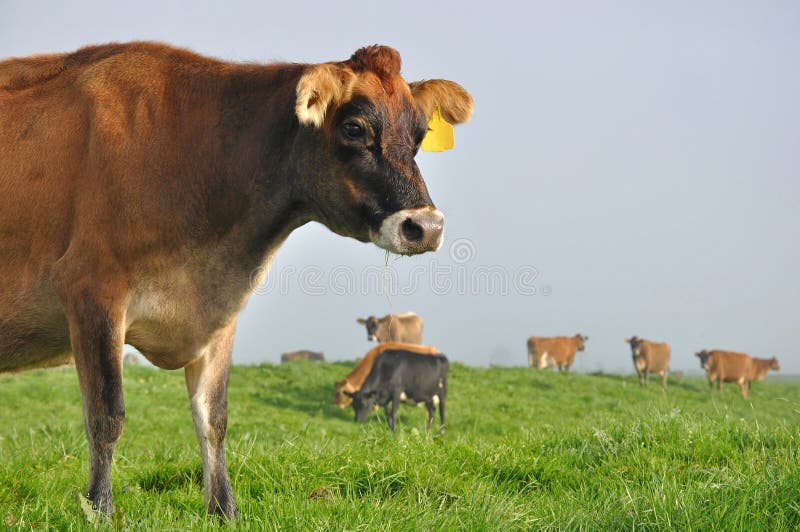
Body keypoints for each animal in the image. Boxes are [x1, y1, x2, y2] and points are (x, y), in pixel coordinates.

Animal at [0, 42, 472, 518]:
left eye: (419, 135)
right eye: (354, 128)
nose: (425, 227)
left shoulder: (220, 311)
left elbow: (214, 418)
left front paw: (224, 509)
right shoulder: (92, 289)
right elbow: (106, 414)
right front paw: (100, 509)